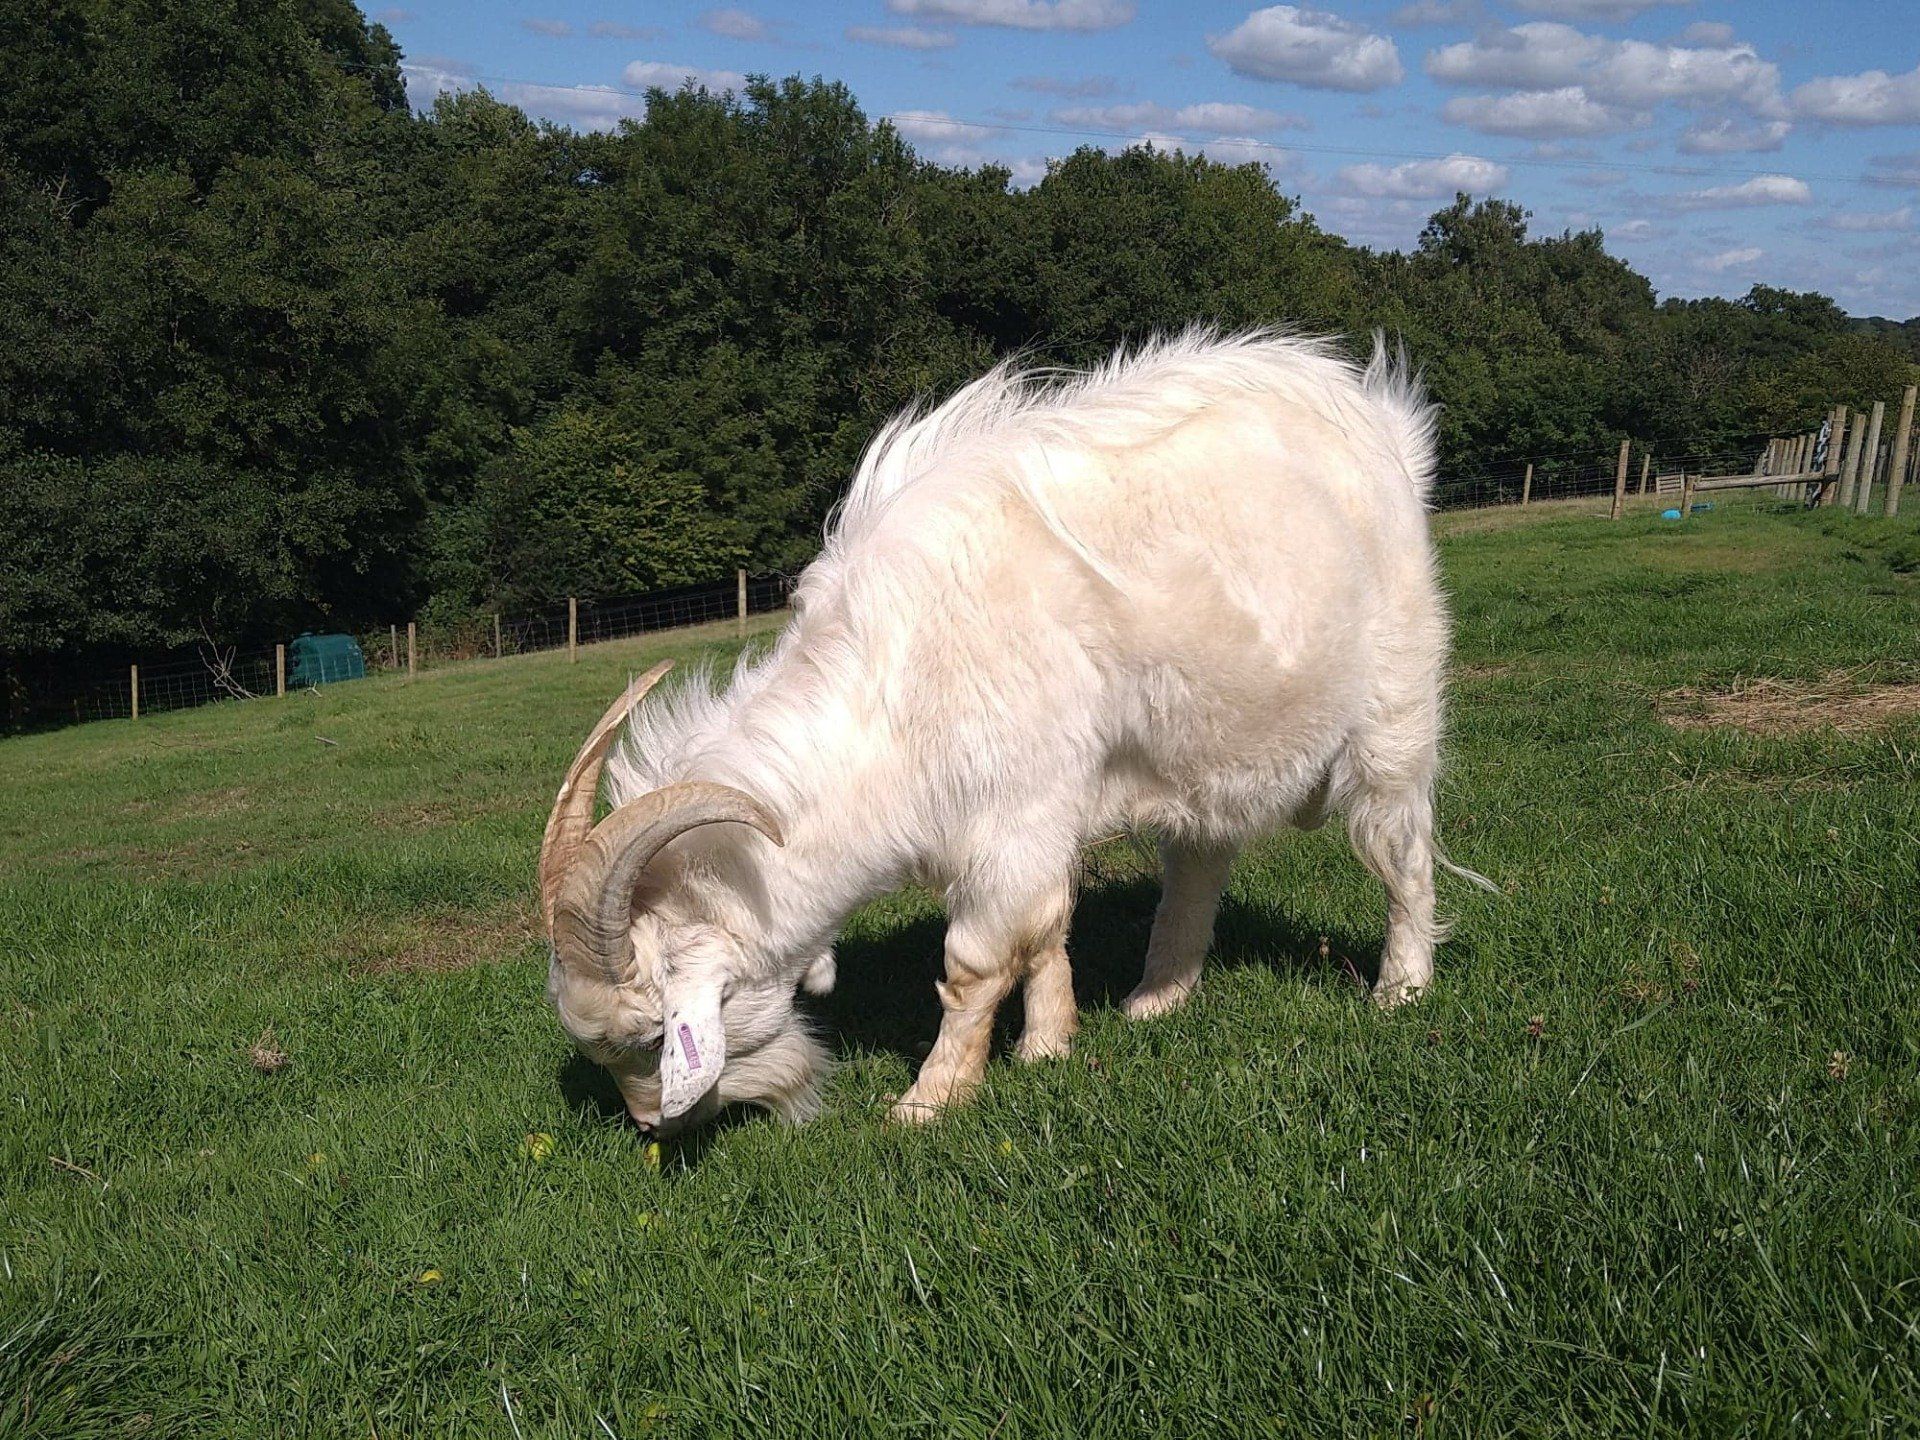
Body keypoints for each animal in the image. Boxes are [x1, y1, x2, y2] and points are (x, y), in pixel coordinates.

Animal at [538, 330, 1480, 1133]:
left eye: (652, 1038)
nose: (653, 1125)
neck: (896, 690)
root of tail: (1382, 419)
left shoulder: (1013, 814)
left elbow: (977, 964)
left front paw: (929, 1100)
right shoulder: (1038, 819)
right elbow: (1047, 930)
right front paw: (1051, 1046)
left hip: (1395, 710)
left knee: (1401, 848)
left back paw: (1400, 989)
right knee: (1201, 857)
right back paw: (1157, 997)